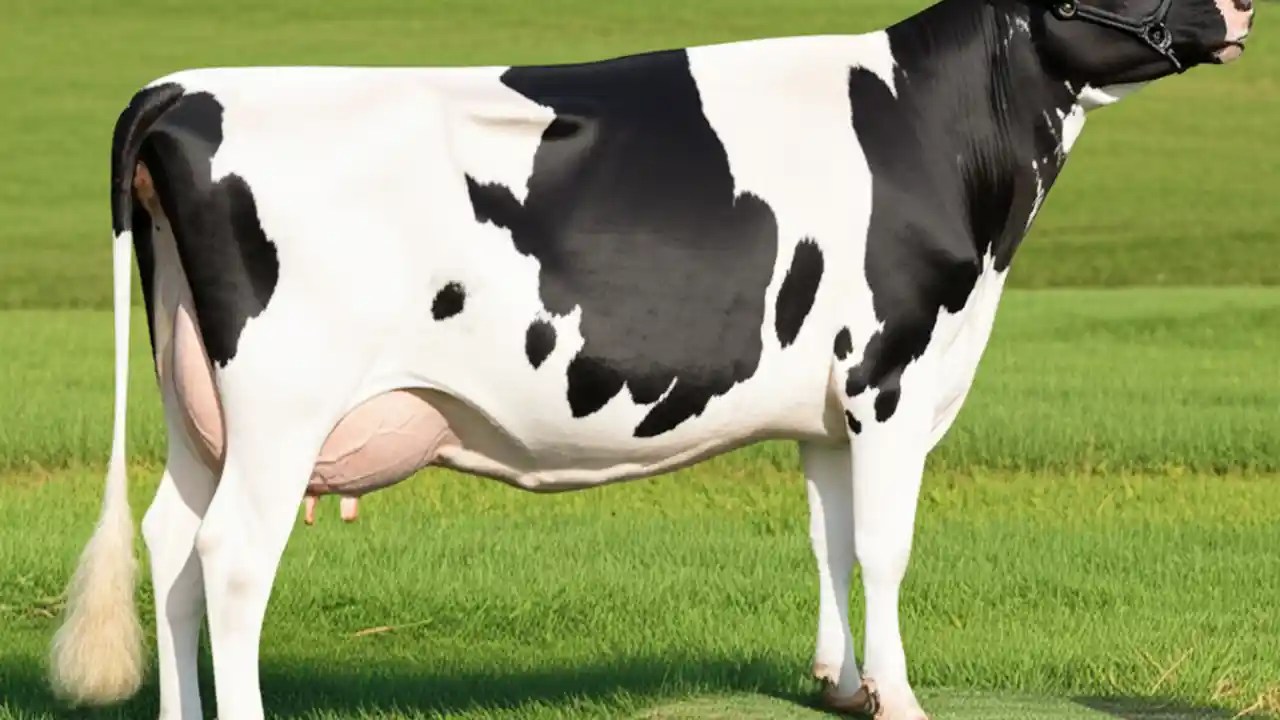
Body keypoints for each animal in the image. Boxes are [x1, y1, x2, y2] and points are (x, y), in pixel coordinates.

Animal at [47, 0, 1253, 717]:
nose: (1240, 3)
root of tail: (182, 87)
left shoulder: (824, 404)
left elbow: (828, 540)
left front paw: (839, 686)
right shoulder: (890, 375)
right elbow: (884, 546)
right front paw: (900, 697)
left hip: (196, 405)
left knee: (174, 547)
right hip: (283, 405)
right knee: (234, 557)